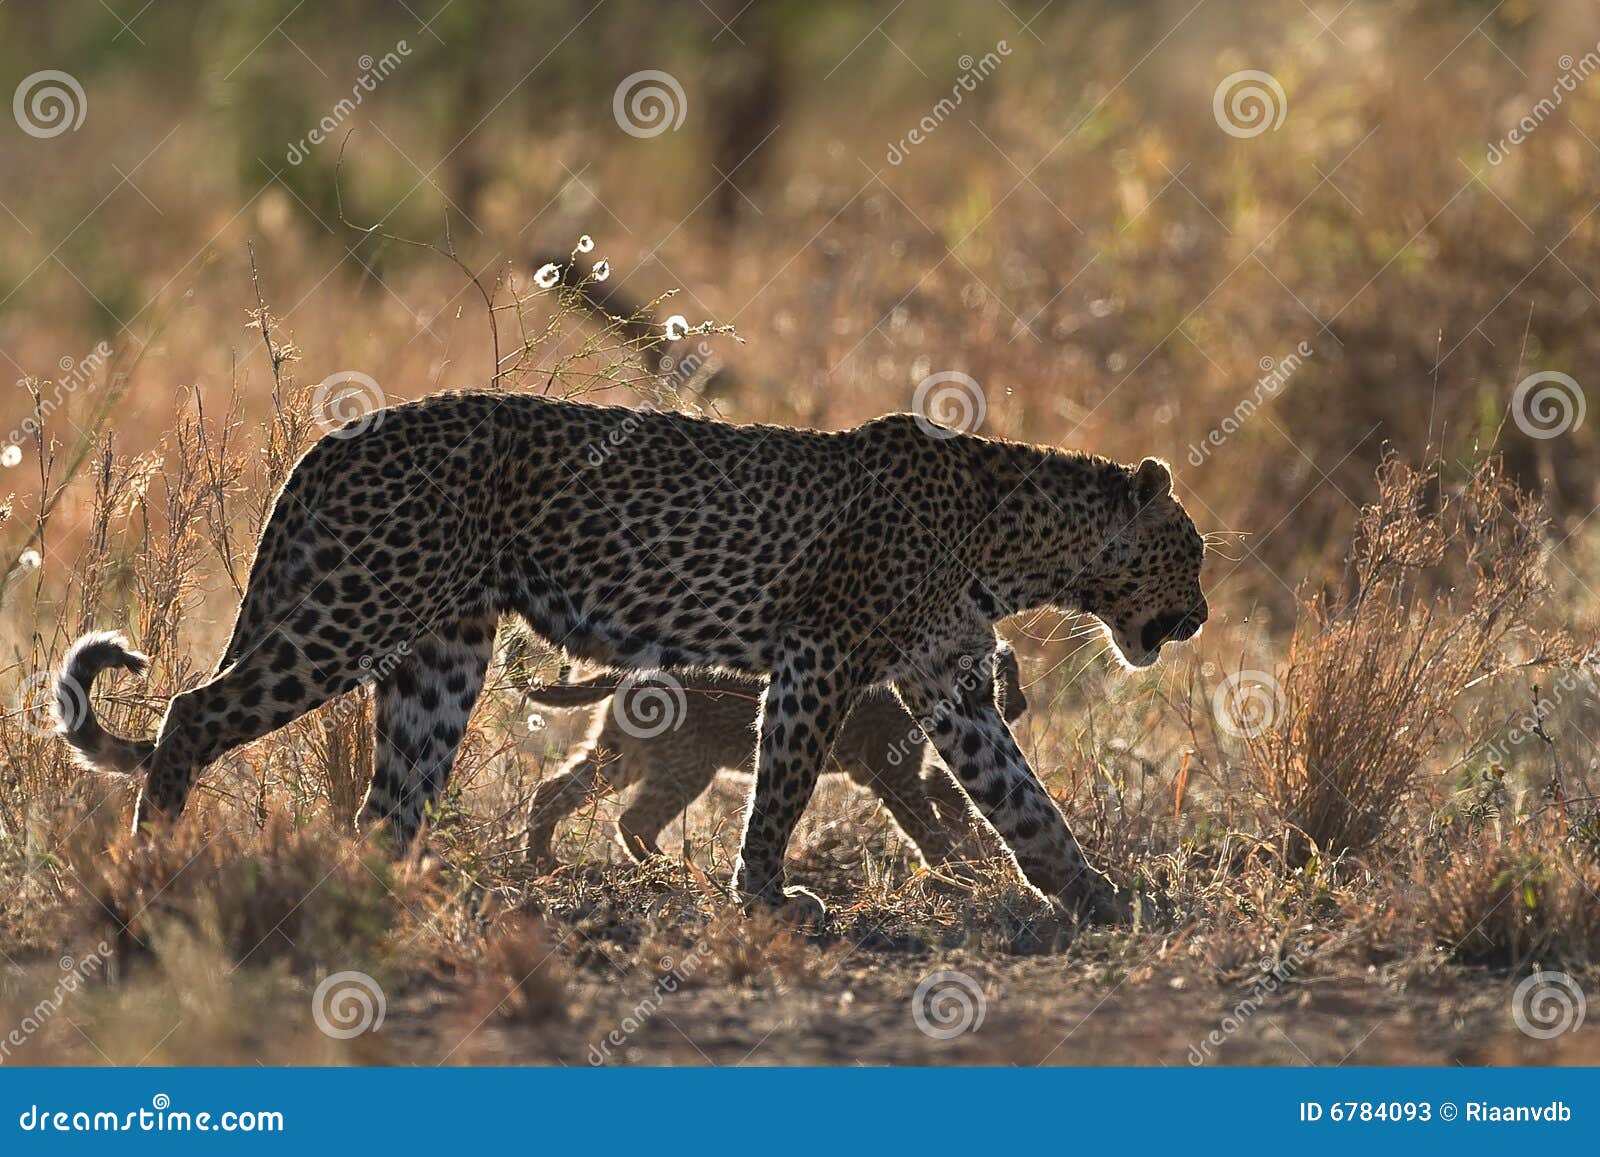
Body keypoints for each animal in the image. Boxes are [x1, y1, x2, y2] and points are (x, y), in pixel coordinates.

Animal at [516, 639, 1025, 869]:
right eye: (1004, 676)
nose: (1019, 705)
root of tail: (635, 673)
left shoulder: (890, 768)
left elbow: (942, 789)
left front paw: (967, 842)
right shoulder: (886, 767)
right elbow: (920, 820)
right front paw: (954, 866)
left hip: (622, 757)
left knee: (554, 790)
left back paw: (543, 859)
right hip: (685, 766)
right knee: (633, 821)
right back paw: (672, 870)